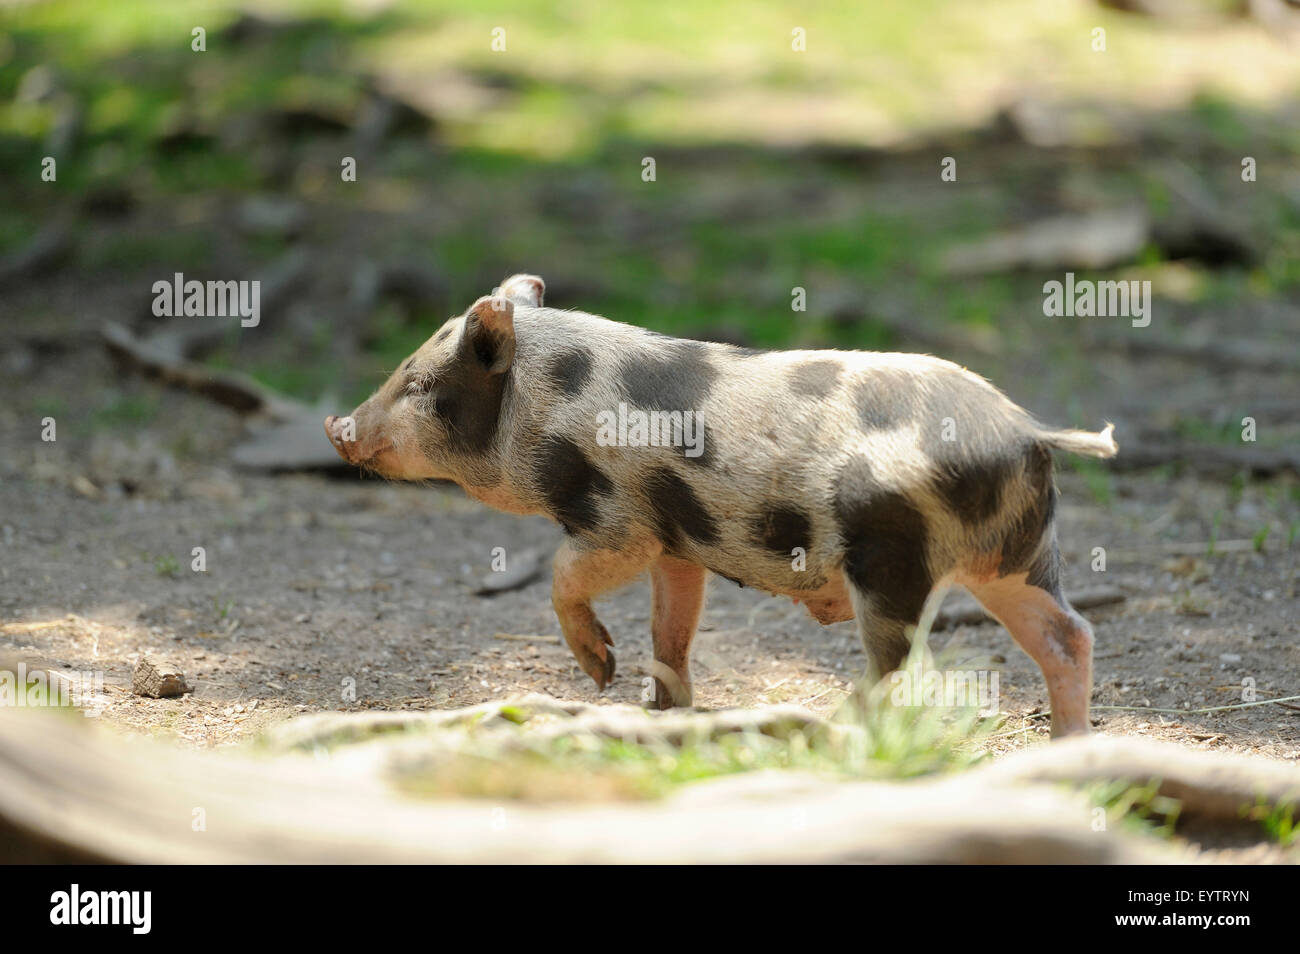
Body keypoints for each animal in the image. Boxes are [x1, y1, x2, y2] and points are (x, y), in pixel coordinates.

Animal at [325, 274, 1118, 737]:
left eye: (419, 383)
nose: (338, 426)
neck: (545, 403)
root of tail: (1024, 429)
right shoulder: (678, 540)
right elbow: (671, 623)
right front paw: (661, 709)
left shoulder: (616, 519)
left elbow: (565, 575)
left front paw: (601, 675)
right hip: (1016, 556)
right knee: (1070, 634)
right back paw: (1067, 742)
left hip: (893, 556)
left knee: (898, 661)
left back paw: (836, 723)